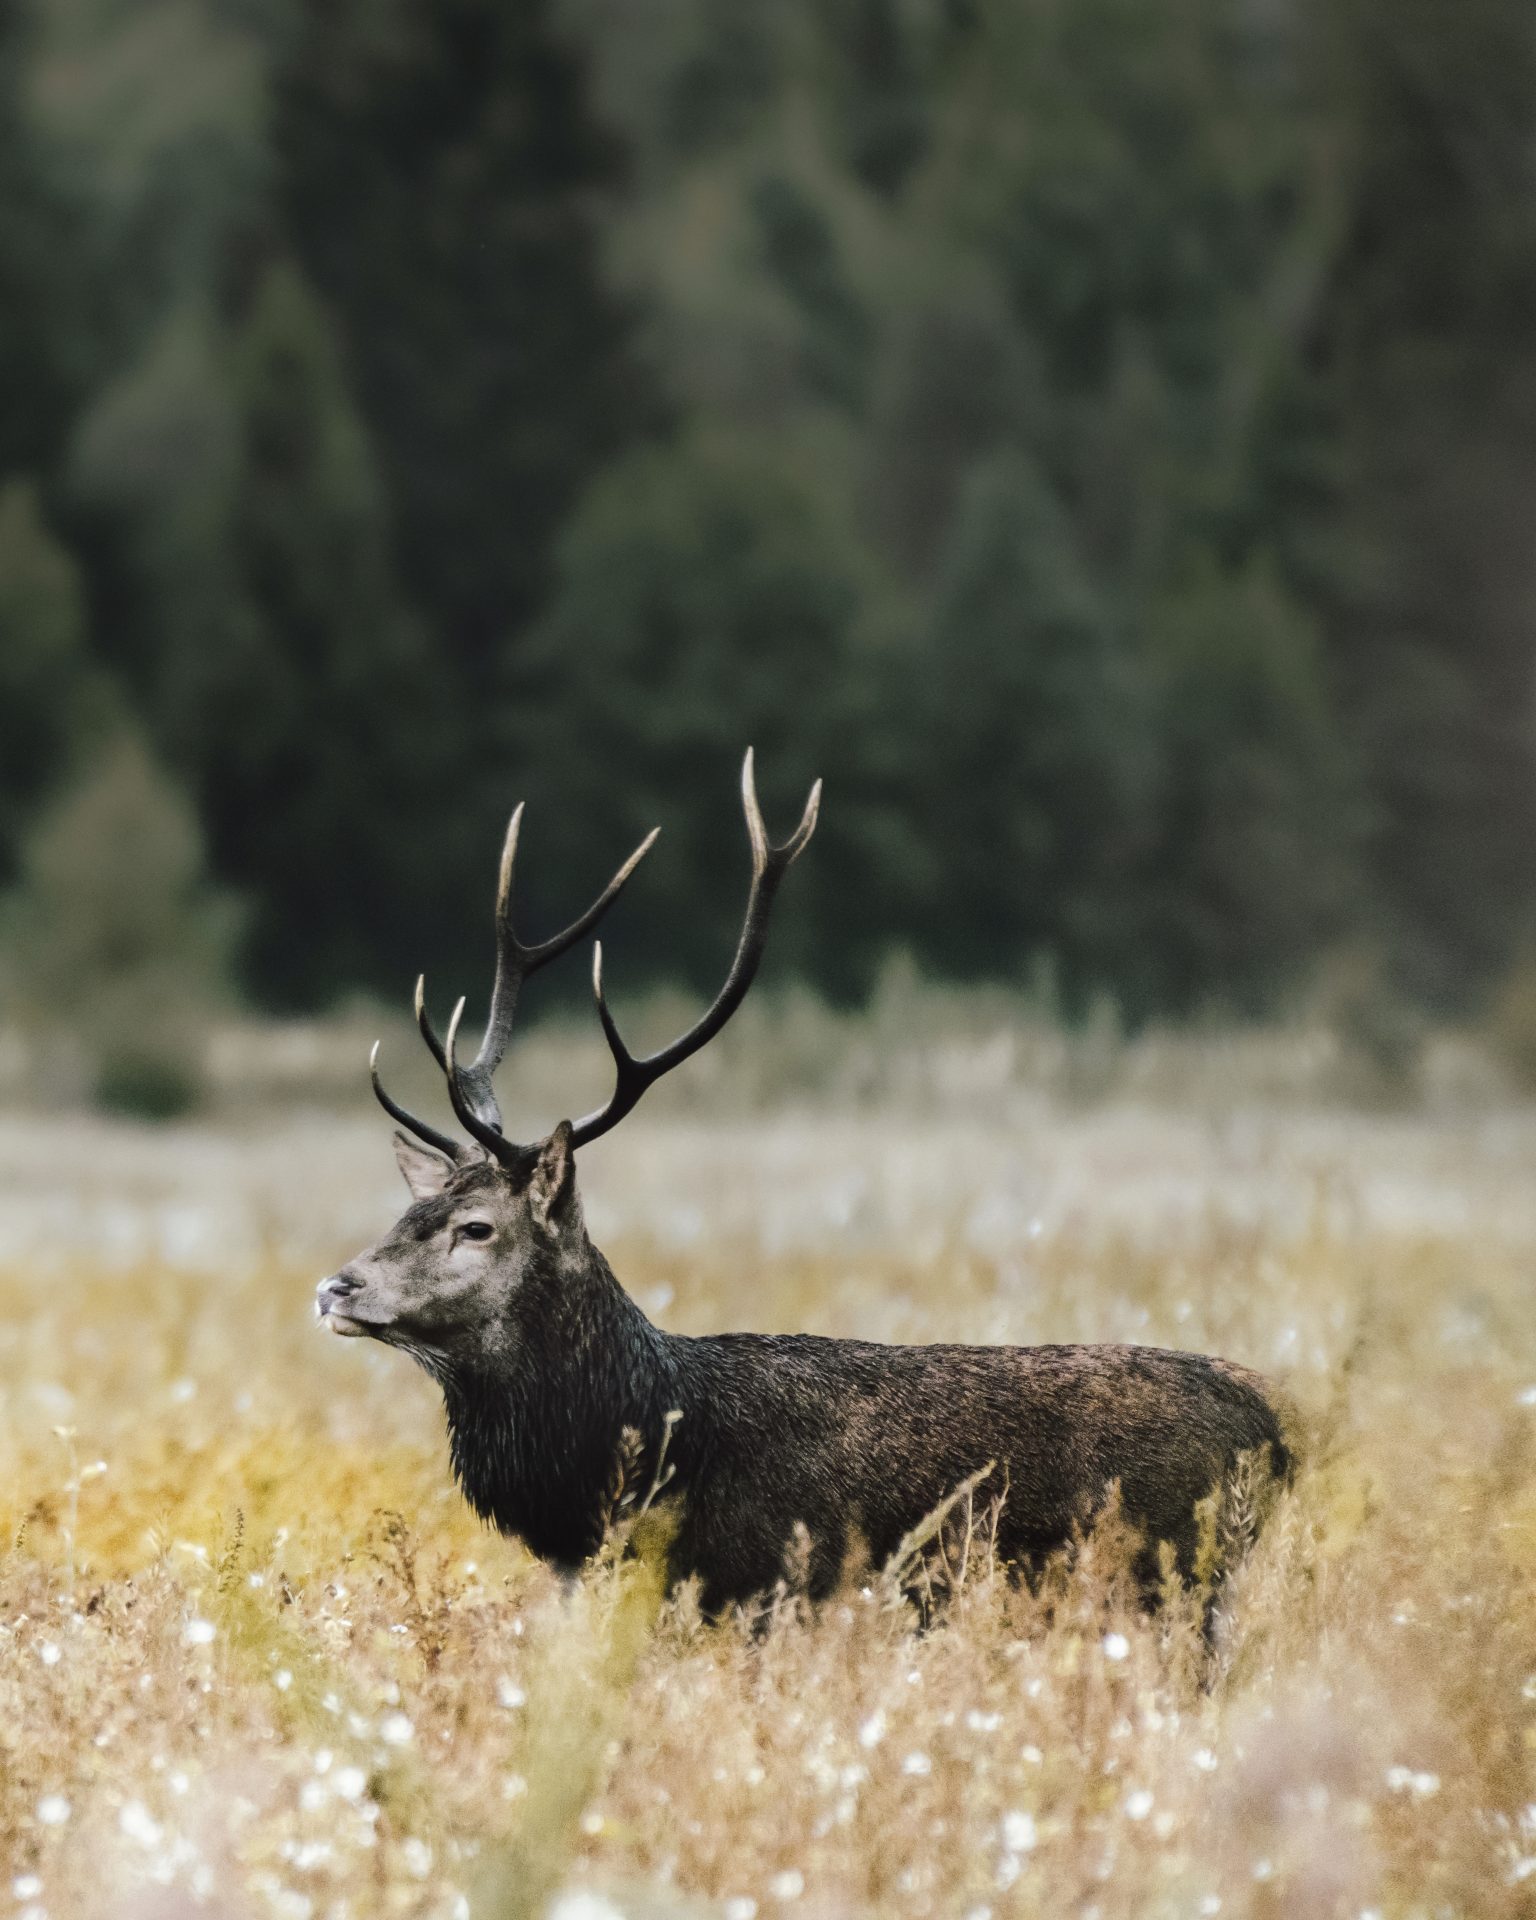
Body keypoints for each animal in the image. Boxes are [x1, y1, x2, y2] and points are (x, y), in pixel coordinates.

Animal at [317, 752, 1291, 1614]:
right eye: (412, 1207)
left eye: (477, 1226)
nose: (335, 1287)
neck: (631, 1465)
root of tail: (1276, 1435)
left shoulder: (773, 1587)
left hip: (1165, 1575)